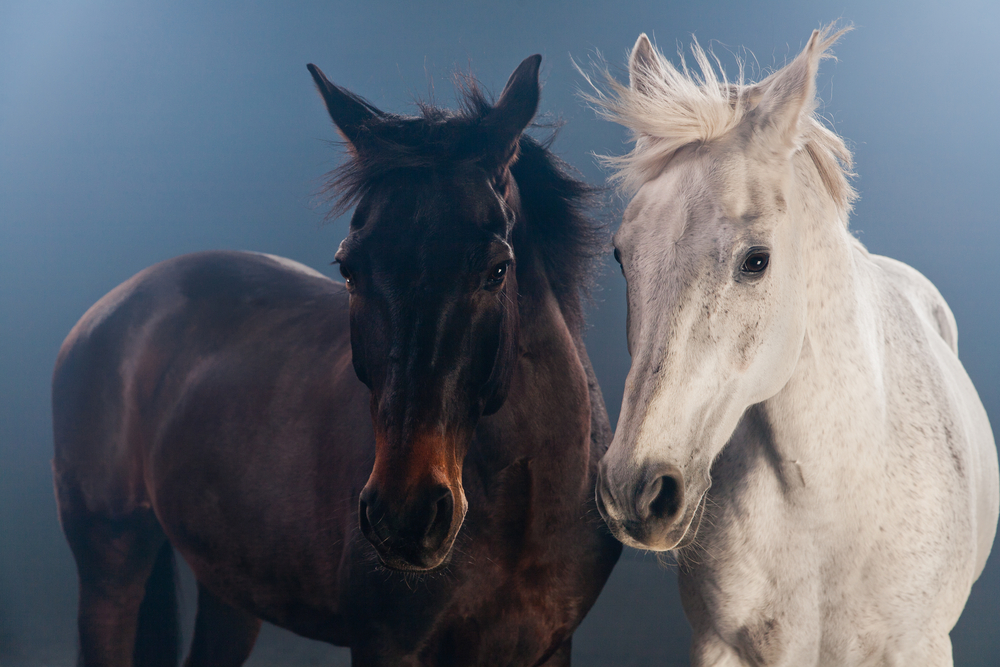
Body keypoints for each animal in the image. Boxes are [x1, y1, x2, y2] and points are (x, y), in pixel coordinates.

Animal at [51, 54, 621, 667]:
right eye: (349, 269)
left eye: (496, 269)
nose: (404, 516)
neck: (526, 504)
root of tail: (110, 309)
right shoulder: (385, 644)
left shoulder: (549, 647)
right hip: (111, 566)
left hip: (230, 590)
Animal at [582, 25, 999, 666]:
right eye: (621, 255)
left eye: (756, 260)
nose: (635, 491)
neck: (828, 504)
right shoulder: (720, 646)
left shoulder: (920, 647)